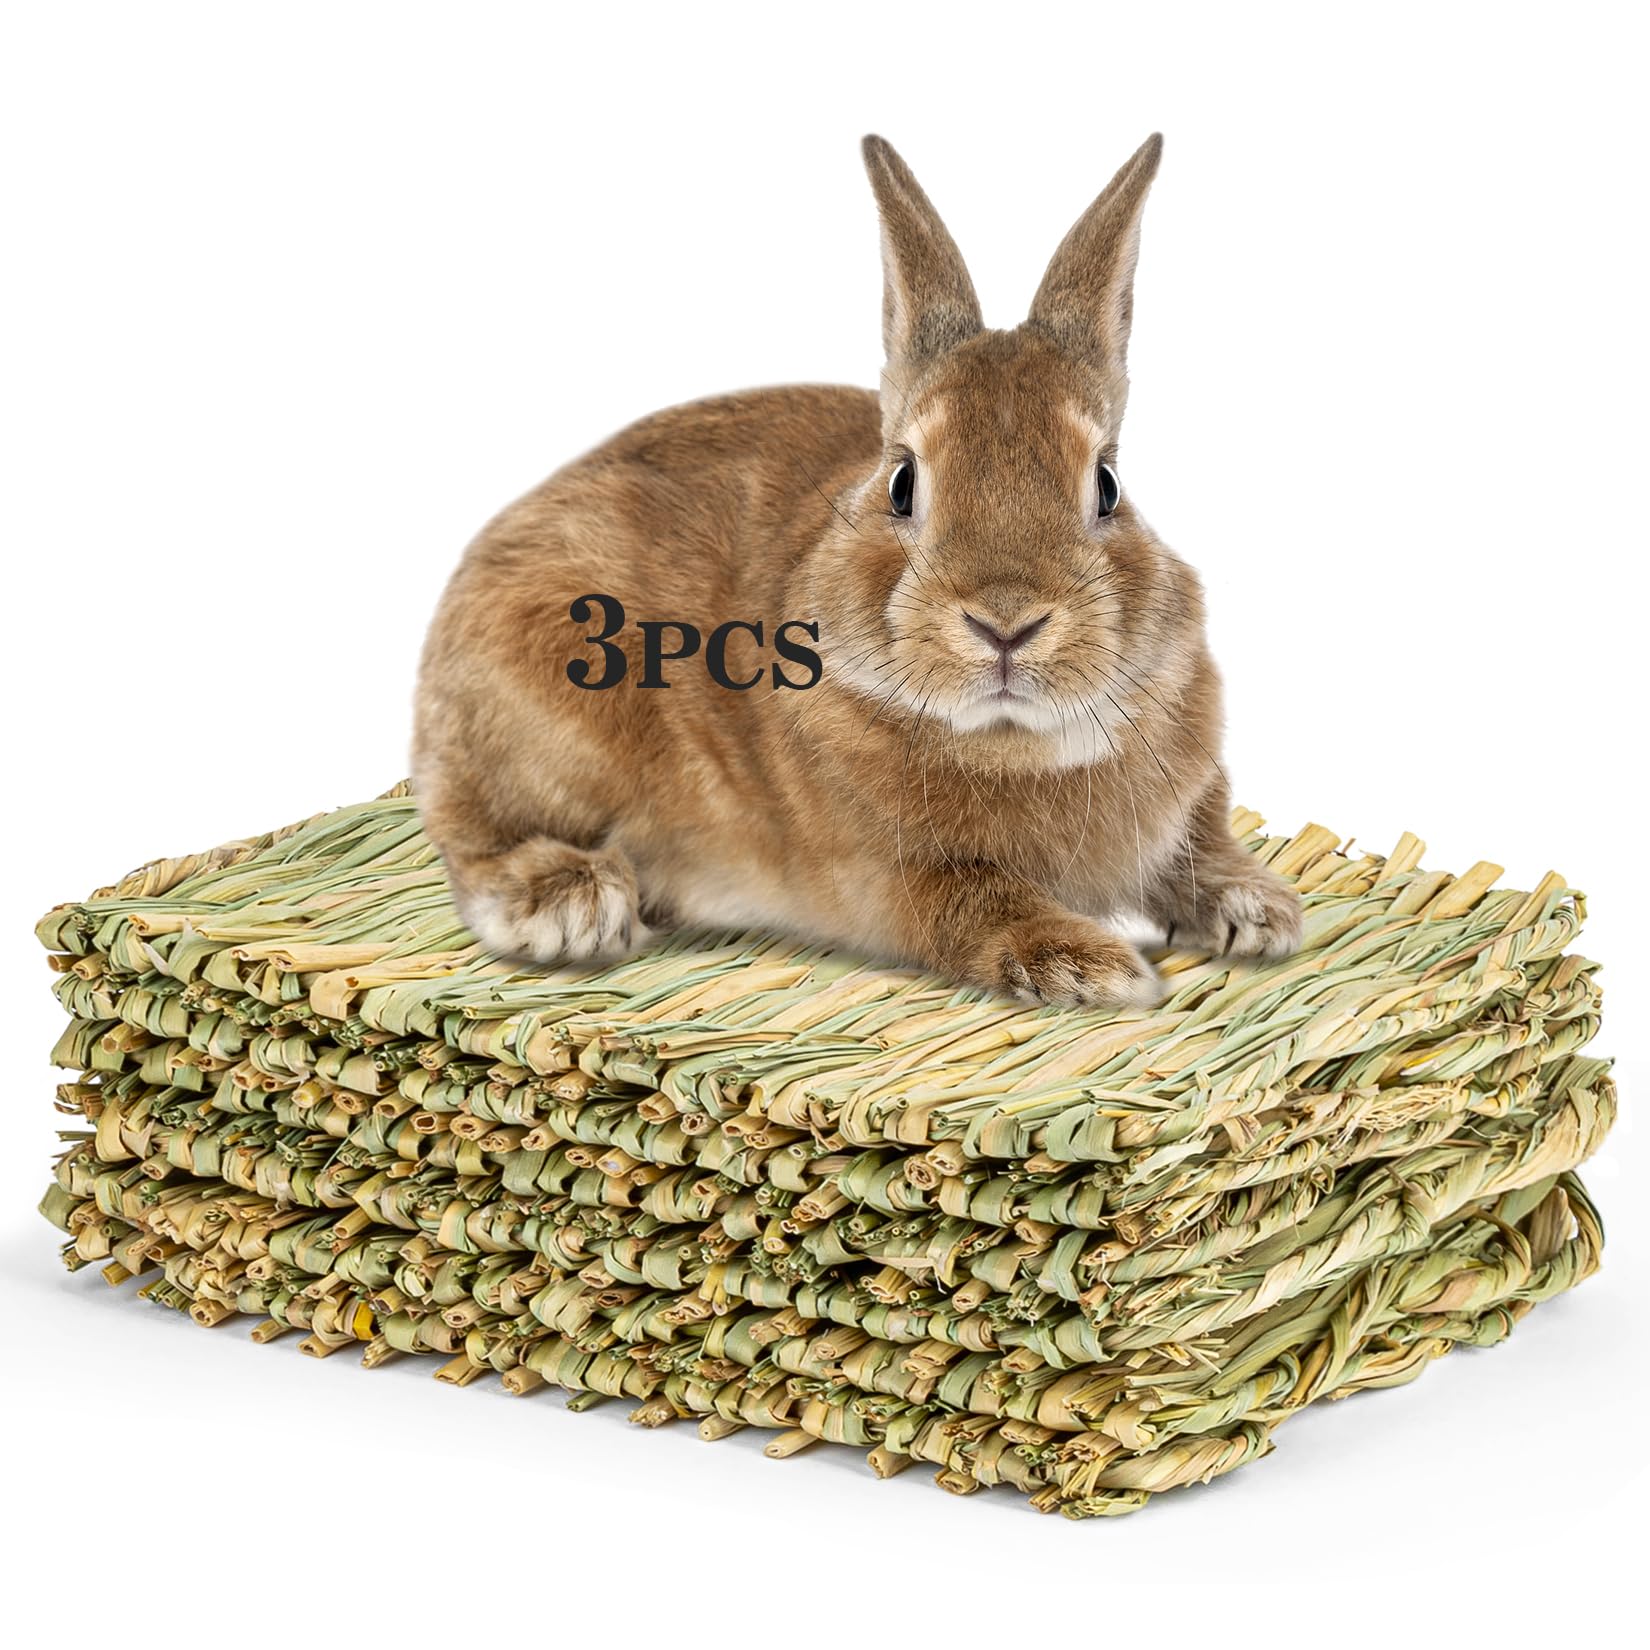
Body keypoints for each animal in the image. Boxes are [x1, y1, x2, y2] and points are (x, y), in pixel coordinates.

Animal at [412, 133, 1303, 1007]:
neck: (1013, 743)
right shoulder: (891, 875)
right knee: (470, 835)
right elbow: (977, 904)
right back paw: (568, 903)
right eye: (903, 482)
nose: (1005, 622)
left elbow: (1200, 846)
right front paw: (1095, 967)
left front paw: (1259, 910)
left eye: (1108, 485)